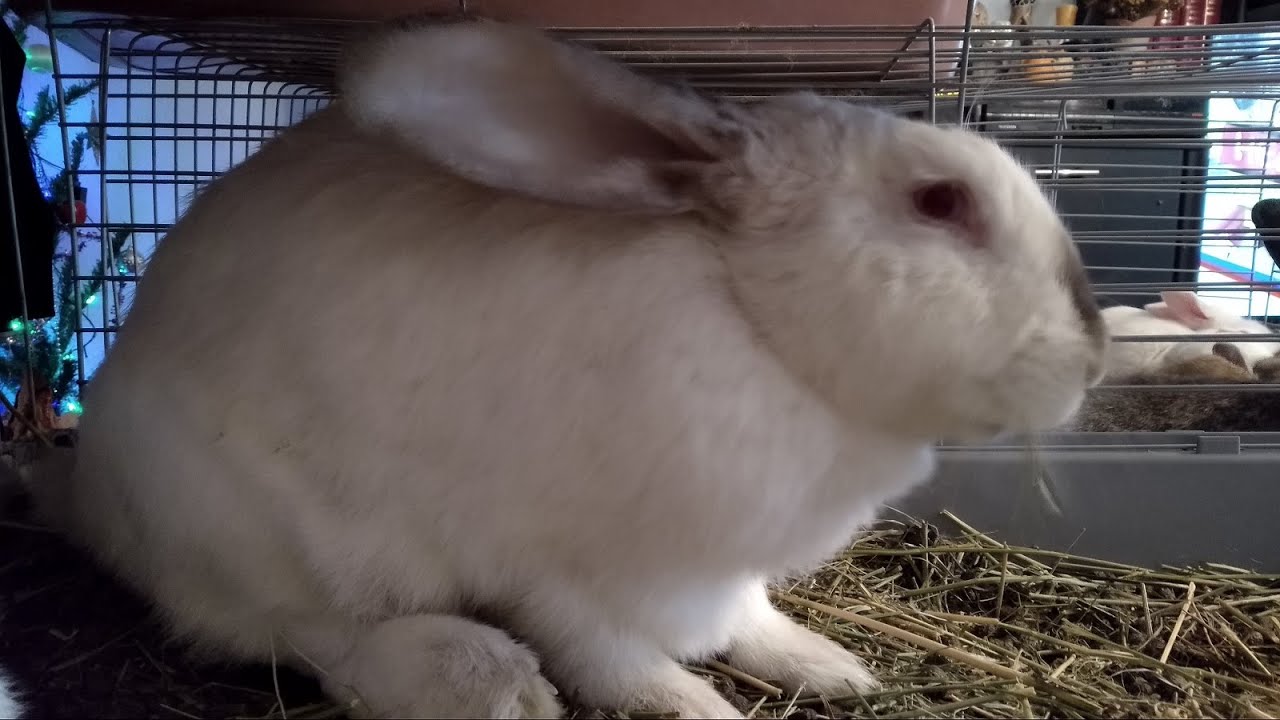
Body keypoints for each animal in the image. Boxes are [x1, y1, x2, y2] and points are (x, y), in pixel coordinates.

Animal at [20, 19, 1106, 720]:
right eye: (938, 203)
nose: (1095, 349)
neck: (750, 323)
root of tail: (90, 500)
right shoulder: (558, 570)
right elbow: (610, 659)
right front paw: (694, 706)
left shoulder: (725, 572)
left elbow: (751, 618)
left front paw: (829, 666)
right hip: (253, 535)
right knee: (308, 639)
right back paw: (483, 682)